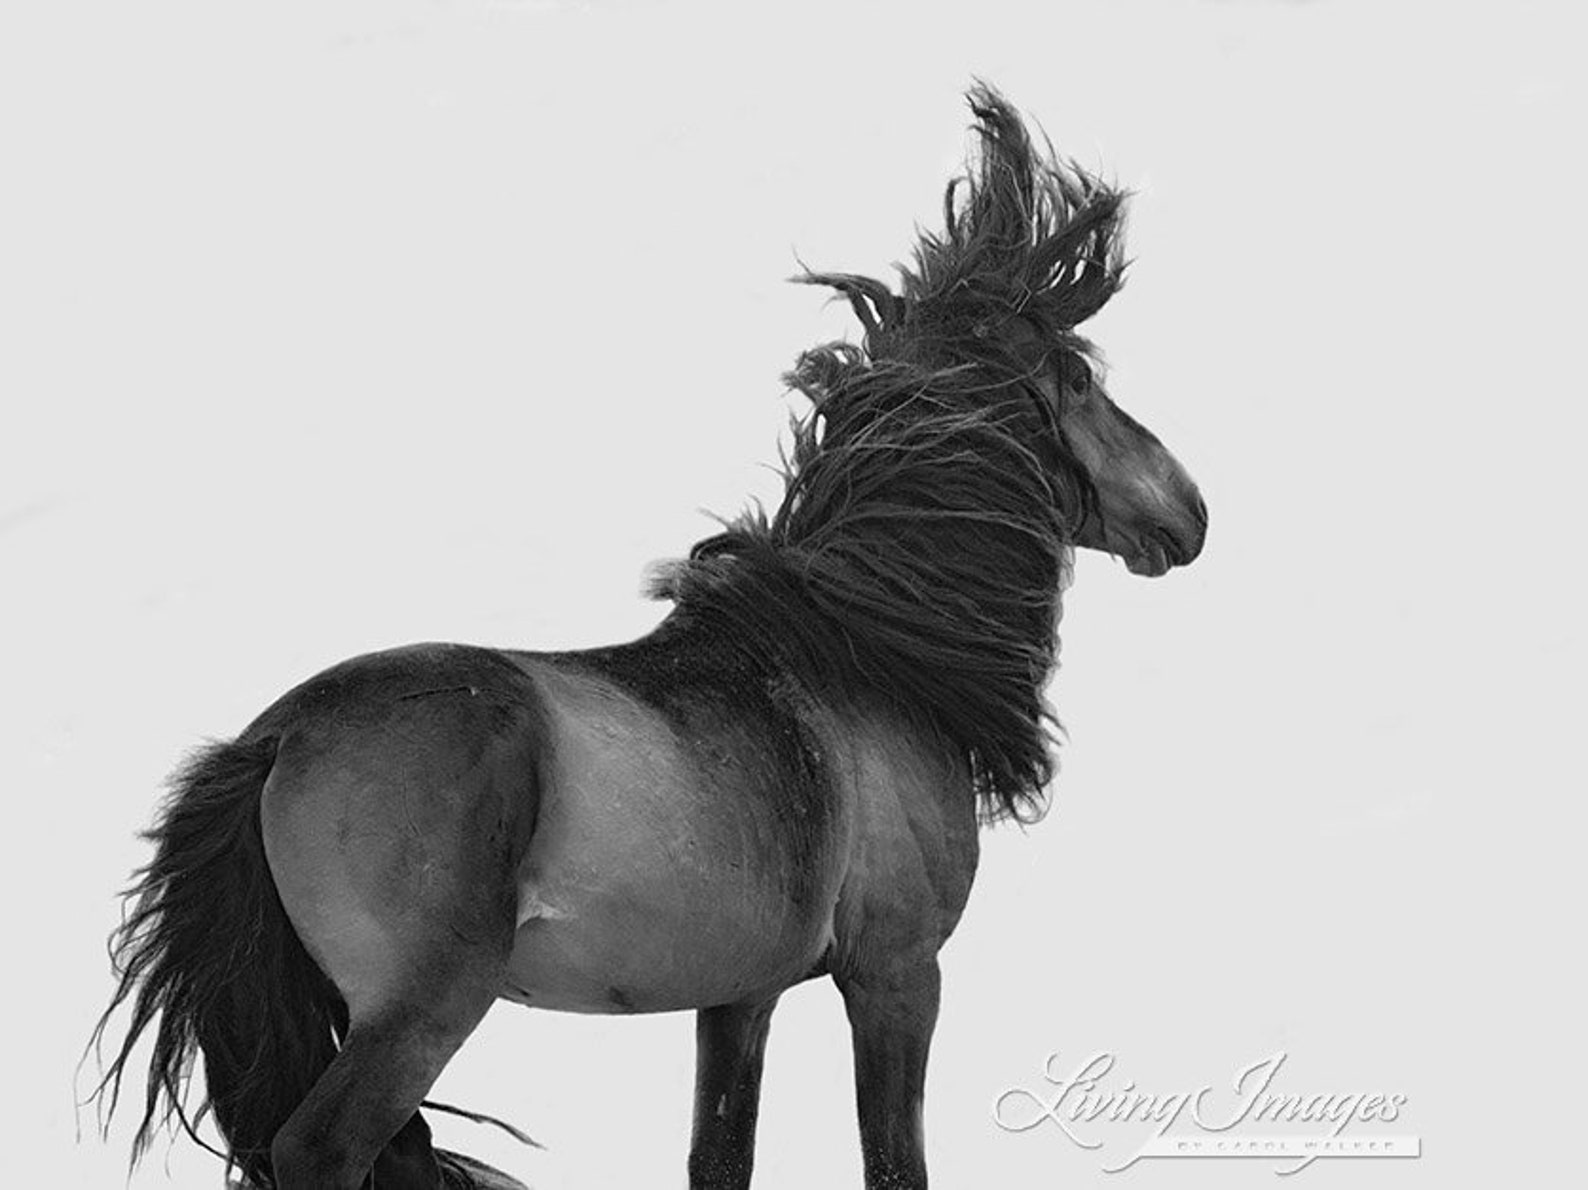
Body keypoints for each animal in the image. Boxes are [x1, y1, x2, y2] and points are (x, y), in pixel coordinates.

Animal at [89, 85, 1206, 1189]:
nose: (1190, 511)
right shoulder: (896, 973)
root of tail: (278, 737)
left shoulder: (743, 993)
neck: (859, 654)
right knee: (325, 1151)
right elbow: (894, 1161)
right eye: (1077, 376)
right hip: (413, 1018)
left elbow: (721, 1155)